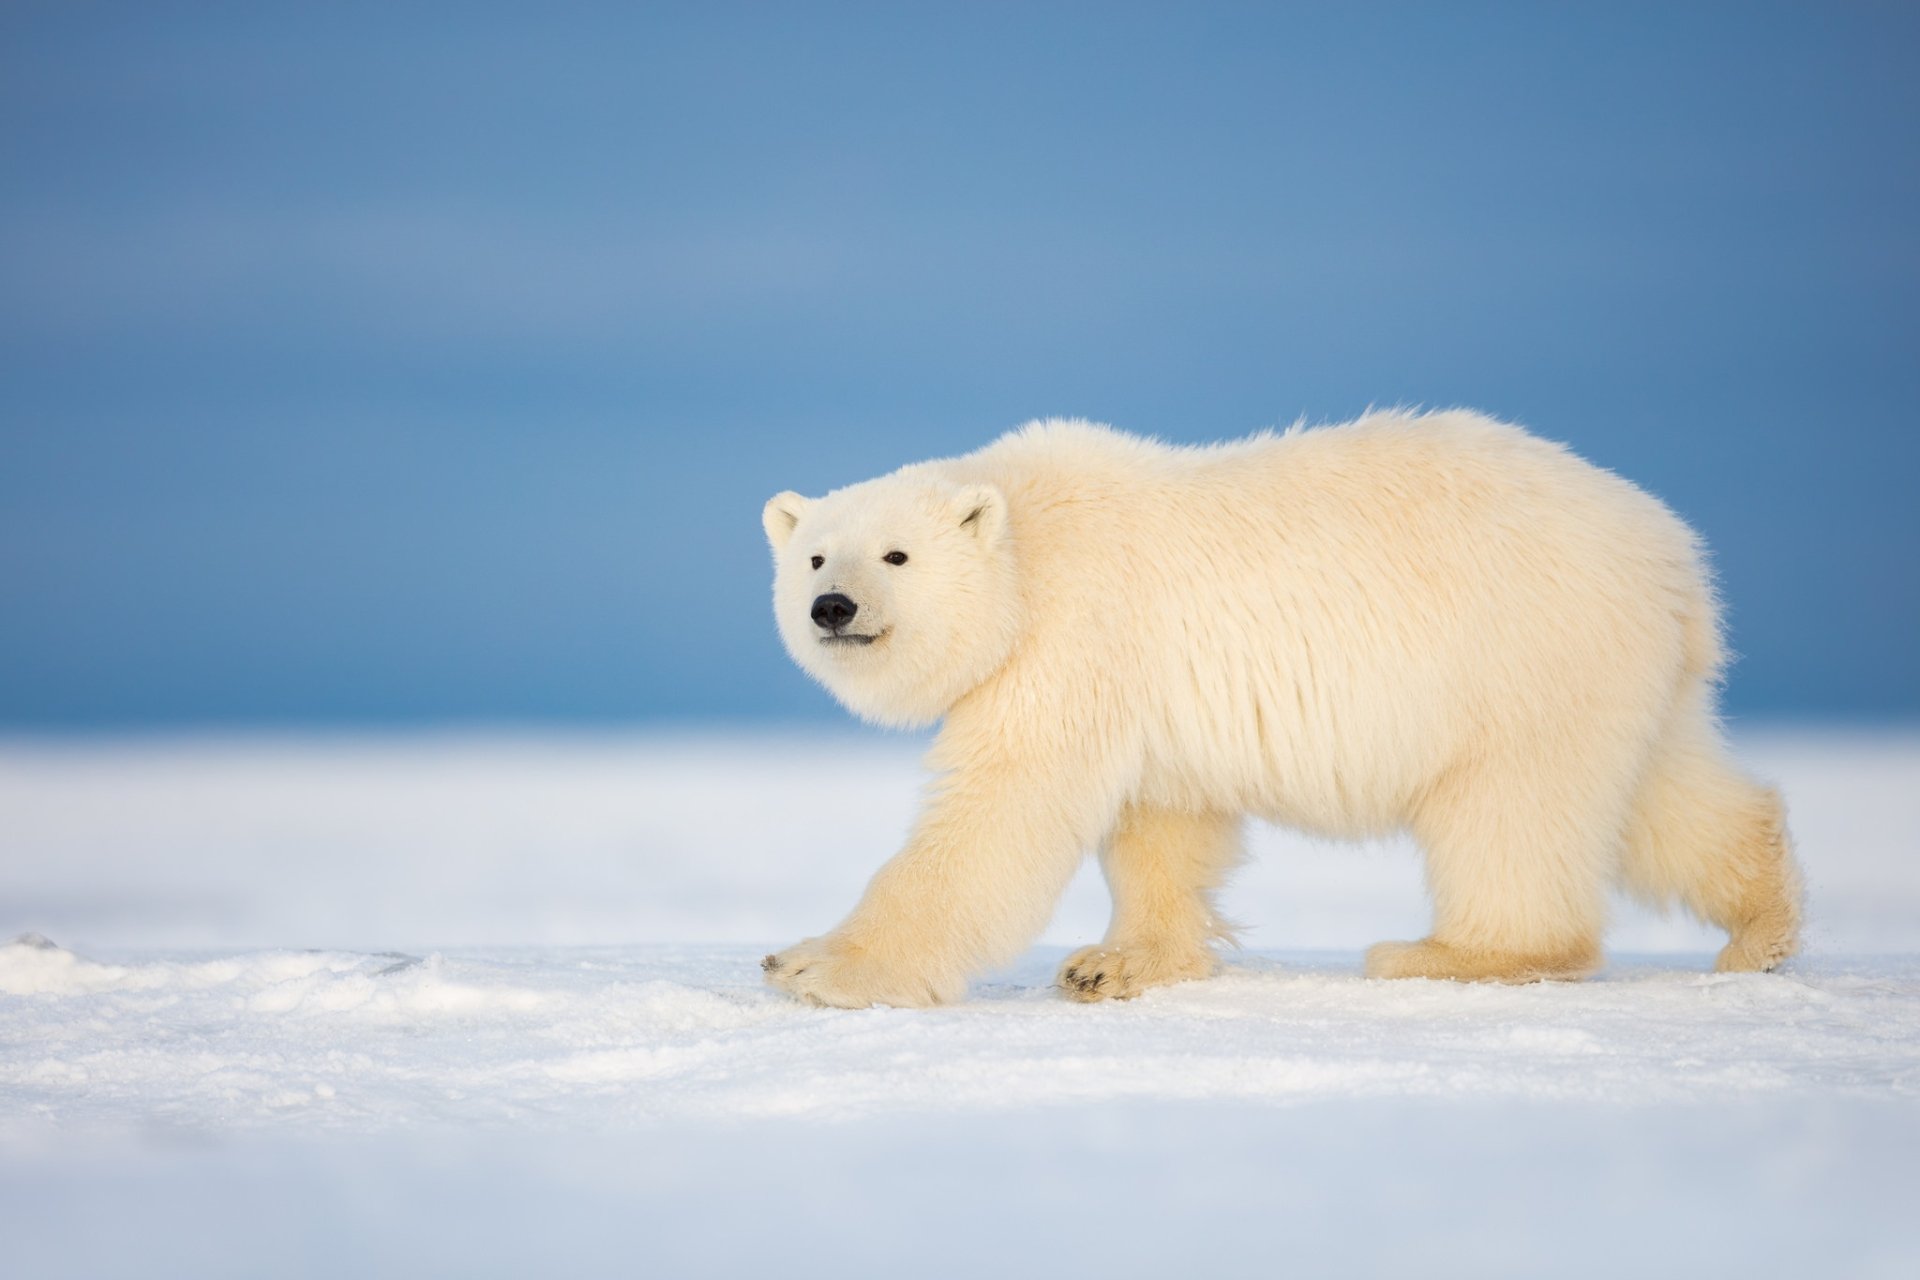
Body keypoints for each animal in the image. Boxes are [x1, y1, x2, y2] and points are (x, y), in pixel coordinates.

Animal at [759, 410, 1802, 1008]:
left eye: (895, 555)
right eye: (813, 555)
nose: (832, 607)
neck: (1028, 540)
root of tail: (1677, 562)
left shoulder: (1075, 633)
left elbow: (999, 812)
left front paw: (817, 967)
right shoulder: (1150, 690)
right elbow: (1160, 824)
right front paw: (1117, 964)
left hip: (1521, 655)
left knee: (1511, 810)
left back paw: (1443, 954)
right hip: (1621, 675)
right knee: (1665, 791)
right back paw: (1763, 929)